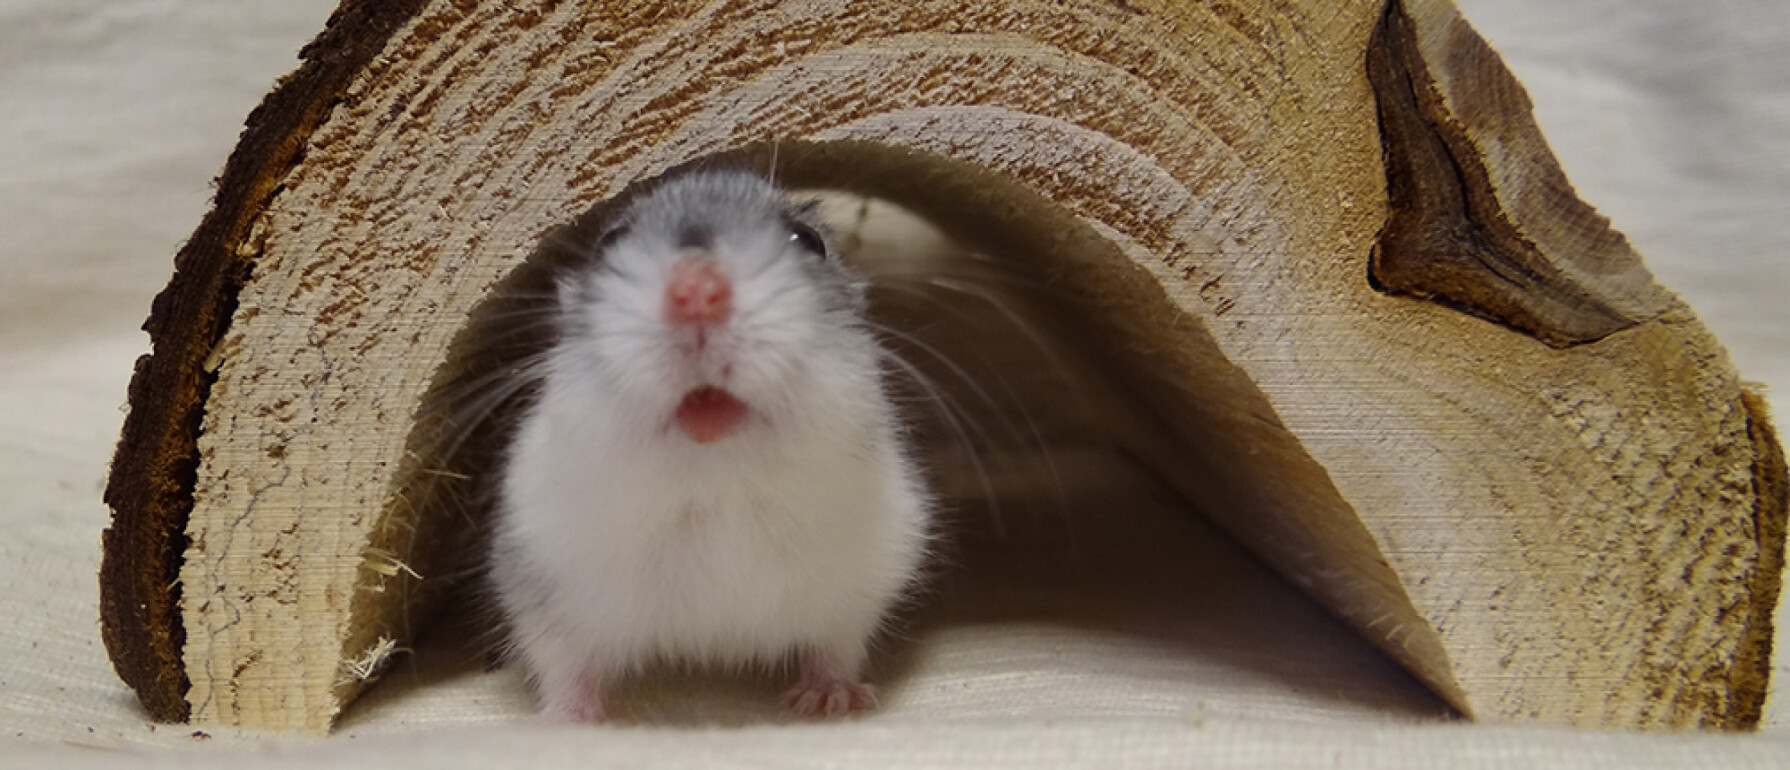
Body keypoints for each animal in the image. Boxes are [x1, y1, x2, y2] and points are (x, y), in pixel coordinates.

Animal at [488, 170, 933, 721]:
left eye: (808, 240)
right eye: (610, 241)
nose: (698, 293)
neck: (717, 484)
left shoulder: (862, 588)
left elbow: (835, 649)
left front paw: (830, 701)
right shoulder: (543, 591)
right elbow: (566, 667)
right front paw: (564, 722)